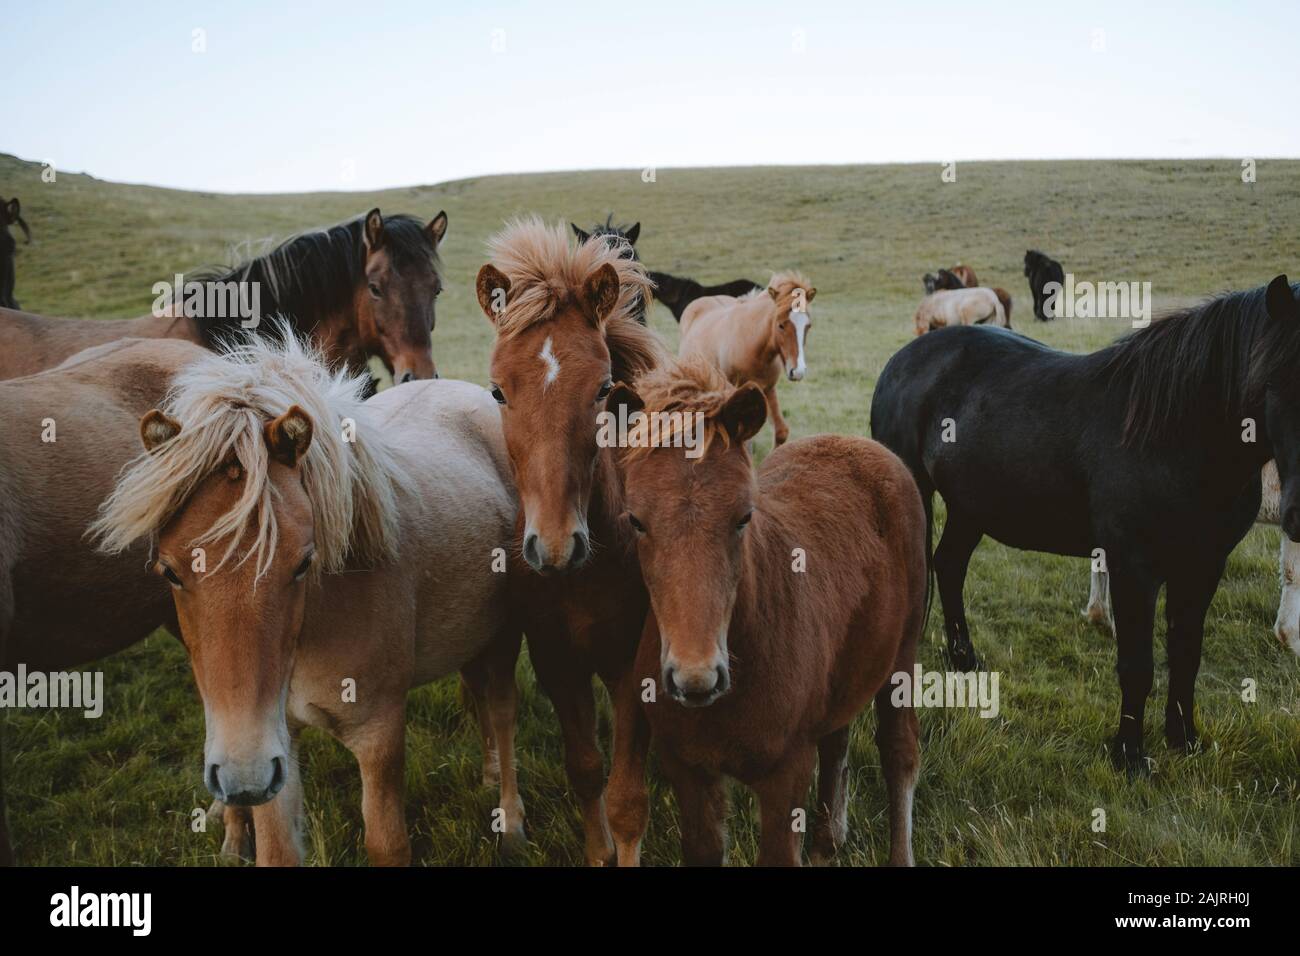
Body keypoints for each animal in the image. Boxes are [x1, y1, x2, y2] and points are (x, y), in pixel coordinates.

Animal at [92, 332, 522, 866]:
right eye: (169, 572)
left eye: (302, 563)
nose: (242, 778)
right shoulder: (278, 749)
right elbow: (277, 848)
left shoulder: (379, 733)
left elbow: (387, 842)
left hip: (504, 635)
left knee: (502, 711)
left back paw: (511, 821)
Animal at [473, 217, 663, 865]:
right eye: (498, 391)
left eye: (604, 388)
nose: (555, 547)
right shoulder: (556, 660)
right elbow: (584, 768)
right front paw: (598, 850)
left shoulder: (634, 666)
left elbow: (629, 794)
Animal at [613, 357, 927, 865]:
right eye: (635, 520)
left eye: (744, 516)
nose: (696, 679)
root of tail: (860, 443)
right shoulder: (687, 769)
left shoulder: (786, 774)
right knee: (836, 736)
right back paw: (827, 840)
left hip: (903, 655)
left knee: (899, 751)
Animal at [678, 271, 815, 446]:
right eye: (780, 325)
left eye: (808, 325)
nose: (798, 371)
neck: (753, 347)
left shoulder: (768, 389)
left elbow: (781, 432)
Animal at [870, 276, 1300, 773]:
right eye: (1277, 380)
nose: (1298, 514)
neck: (1177, 434)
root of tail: (903, 359)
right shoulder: (1135, 567)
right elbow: (1137, 665)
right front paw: (1129, 756)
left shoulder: (1203, 565)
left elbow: (1186, 654)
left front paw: (1183, 739)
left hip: (969, 505)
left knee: (950, 565)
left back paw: (964, 659)